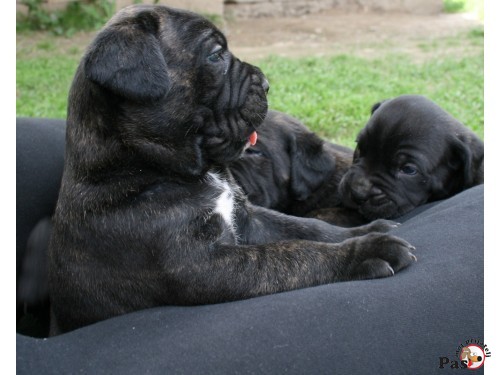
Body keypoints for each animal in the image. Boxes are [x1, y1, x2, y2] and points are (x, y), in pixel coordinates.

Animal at [47, 5, 414, 334]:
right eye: (215, 56)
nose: (266, 83)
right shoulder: (204, 266)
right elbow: (293, 255)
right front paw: (365, 252)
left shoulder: (248, 218)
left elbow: (307, 228)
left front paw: (368, 229)